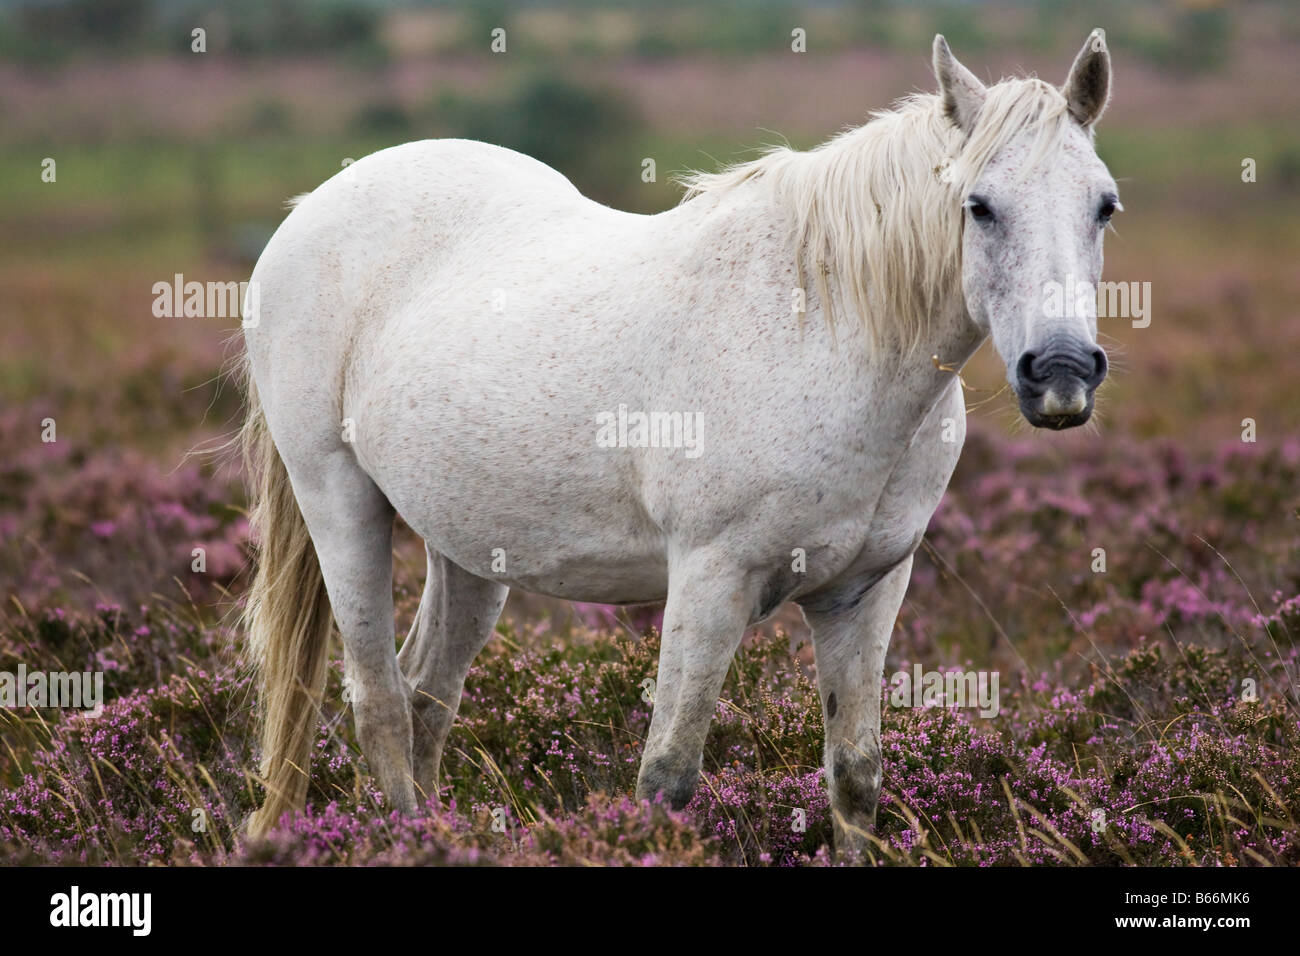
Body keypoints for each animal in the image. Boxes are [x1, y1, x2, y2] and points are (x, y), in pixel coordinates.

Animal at [239, 31, 1119, 856]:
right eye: (980, 205)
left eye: (1104, 206)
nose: (1062, 372)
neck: (824, 333)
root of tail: (310, 210)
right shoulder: (710, 578)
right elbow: (667, 775)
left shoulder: (864, 591)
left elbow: (855, 775)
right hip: (339, 502)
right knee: (381, 703)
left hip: (469, 545)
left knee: (428, 695)